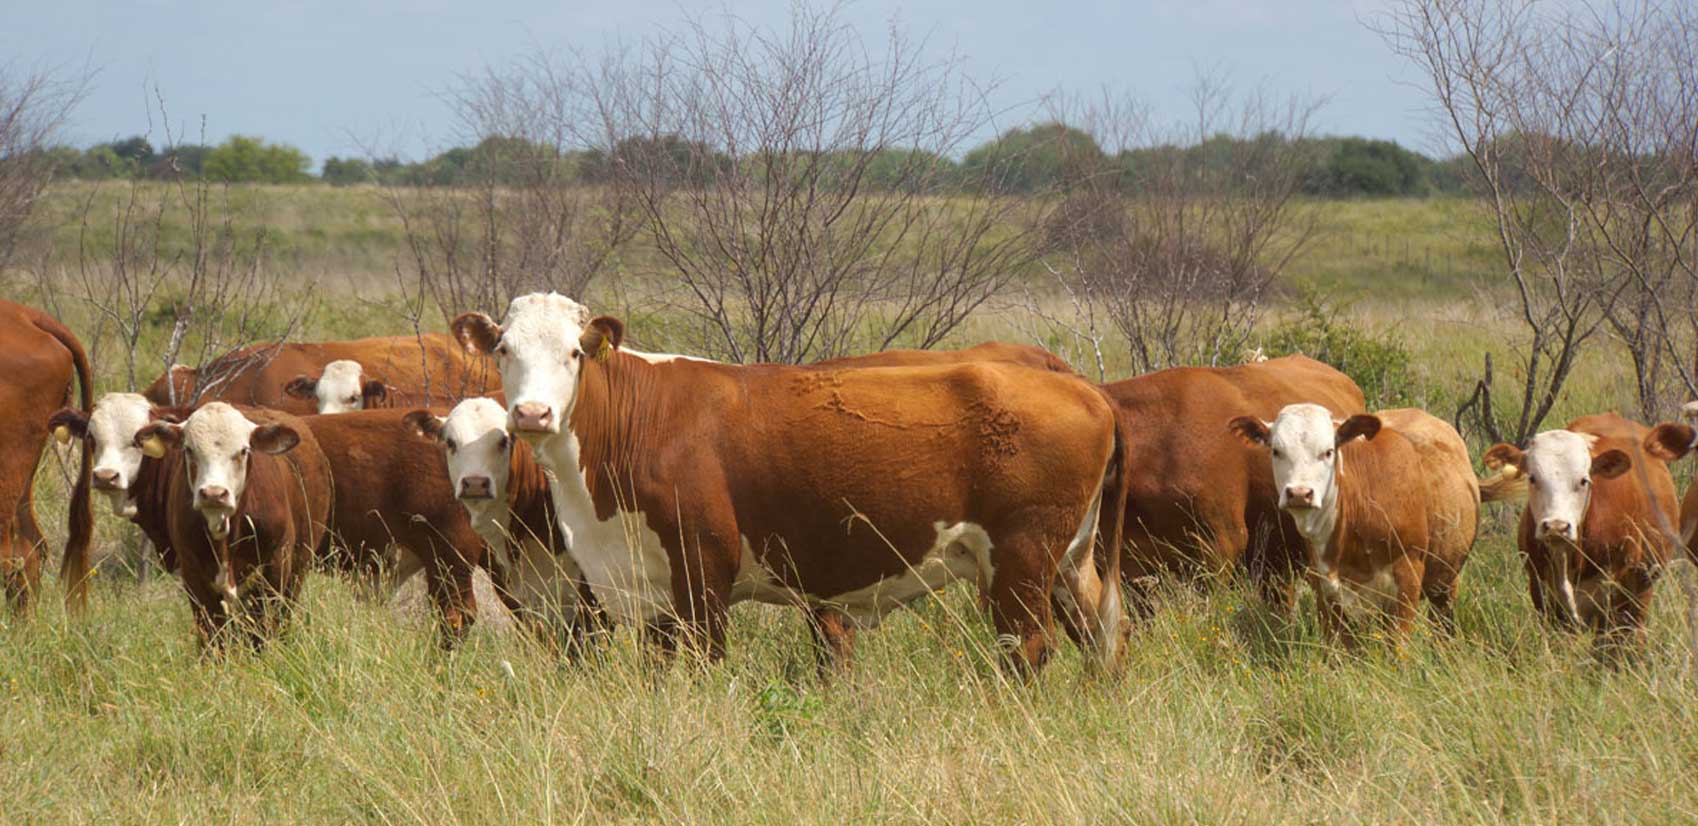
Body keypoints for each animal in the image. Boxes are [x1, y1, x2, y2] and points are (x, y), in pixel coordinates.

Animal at [133, 403, 332, 648]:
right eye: (188, 450)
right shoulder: (192, 573)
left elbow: (262, 630)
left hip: (297, 568)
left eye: (243, 451)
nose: (213, 493)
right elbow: (212, 636)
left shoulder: (276, 565)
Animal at [450, 292, 1130, 675]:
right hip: (1069, 561)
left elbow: (703, 665)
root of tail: (1081, 386)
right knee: (1102, 634)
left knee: (1028, 648)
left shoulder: (704, 571)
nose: (532, 413)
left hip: (1022, 562)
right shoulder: (650, 589)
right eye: (504, 350)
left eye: (574, 352)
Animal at [1231, 405, 1514, 643]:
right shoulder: (1325, 587)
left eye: (1328, 451)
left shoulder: (1407, 579)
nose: (1300, 493)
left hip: (1446, 581)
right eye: (1276, 451)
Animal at [1484, 413, 1680, 649]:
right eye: (1532, 478)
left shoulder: (1617, 593)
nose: (1556, 526)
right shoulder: (1541, 592)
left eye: (1584, 480)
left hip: (1643, 583)